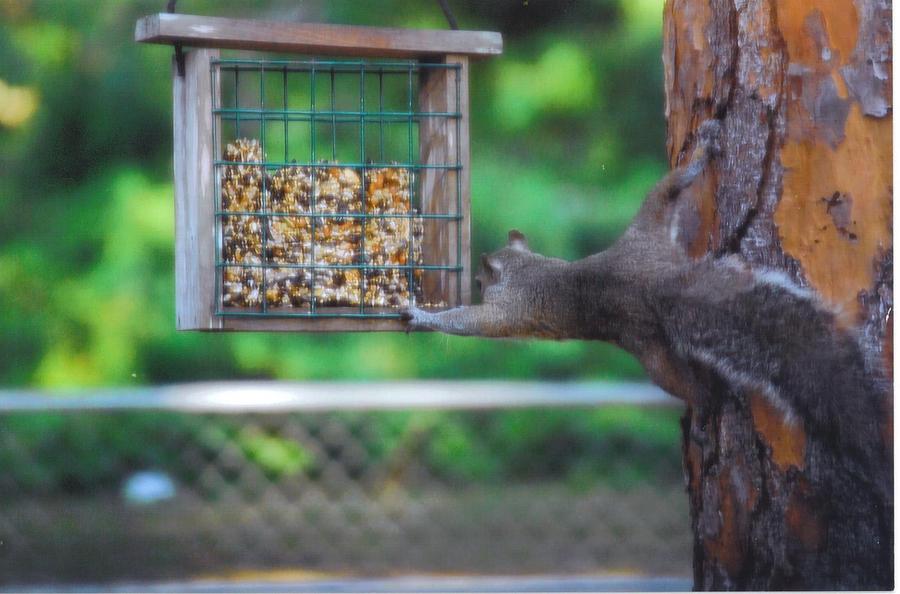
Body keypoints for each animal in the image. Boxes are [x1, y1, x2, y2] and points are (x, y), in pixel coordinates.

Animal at [402, 120, 890, 480]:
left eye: (479, 283)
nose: (476, 285)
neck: (529, 269)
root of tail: (655, 284)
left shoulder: (508, 310)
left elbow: (474, 324)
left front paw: (421, 316)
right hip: (648, 233)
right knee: (666, 192)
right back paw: (703, 152)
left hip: (654, 356)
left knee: (697, 391)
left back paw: (705, 415)